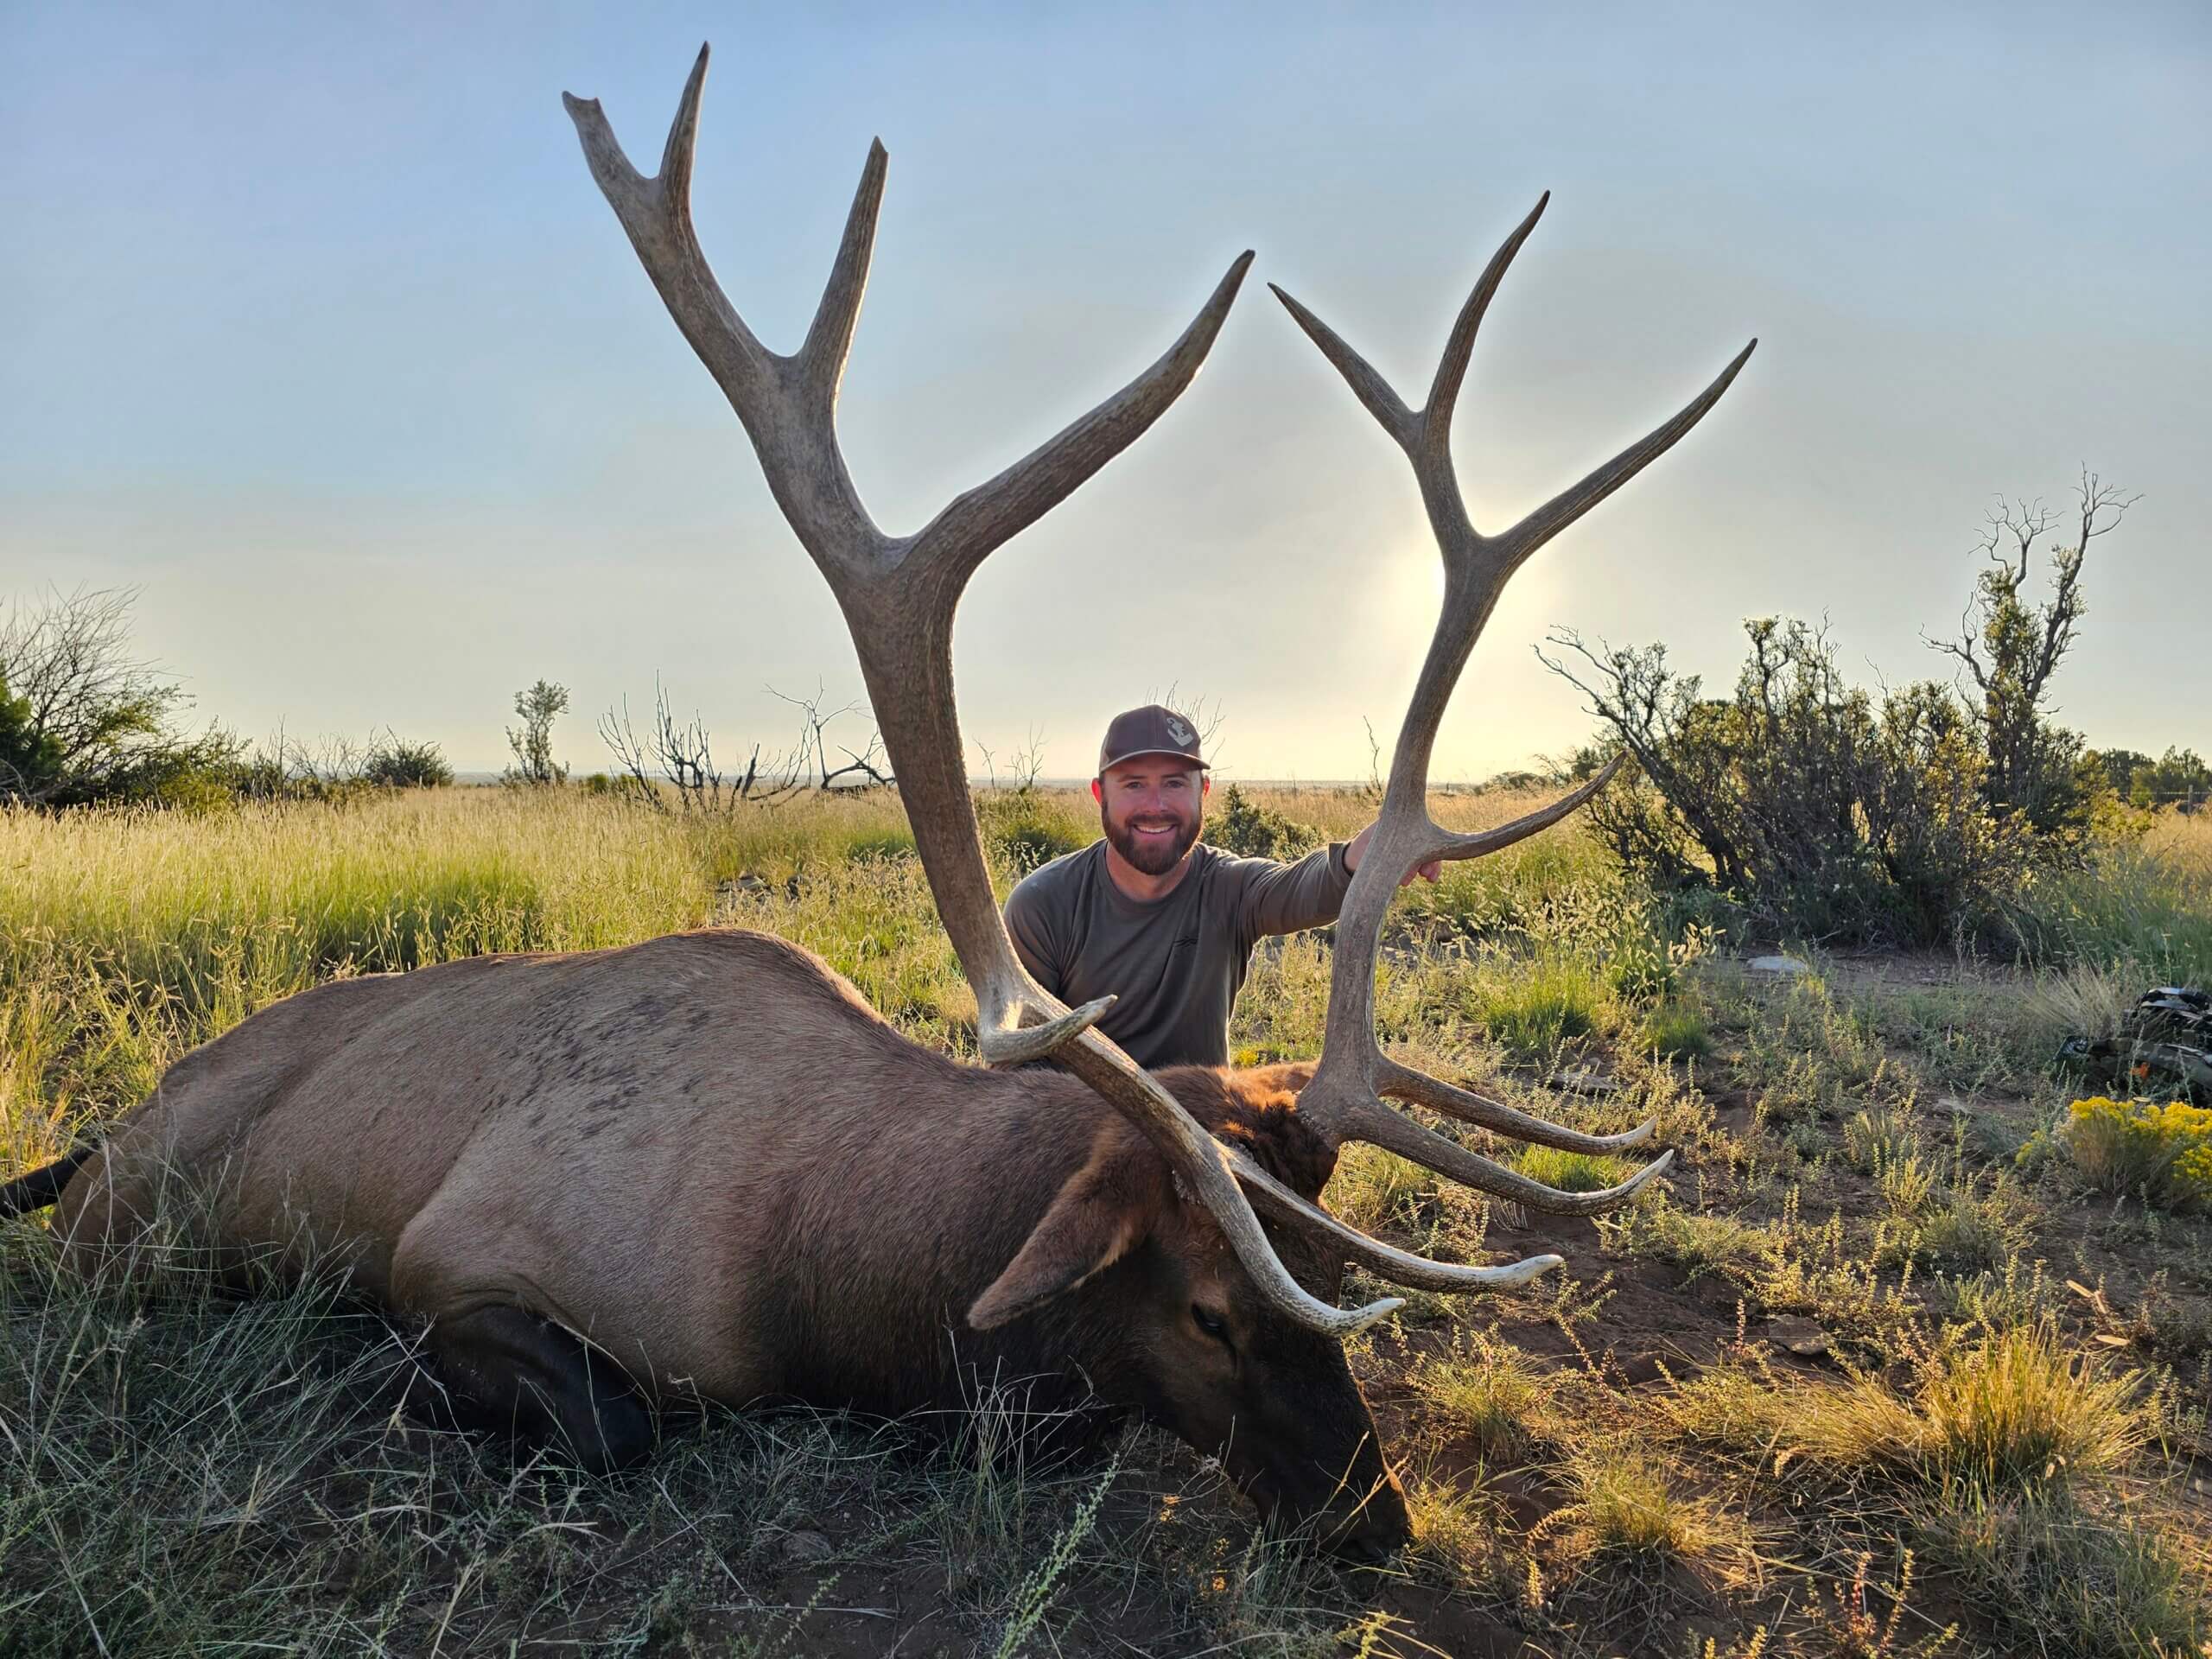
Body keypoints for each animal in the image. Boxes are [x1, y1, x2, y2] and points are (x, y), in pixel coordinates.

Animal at [2, 44, 1751, 1559]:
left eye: (1332, 1263)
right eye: (1206, 1306)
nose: (1374, 1520)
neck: (825, 1282)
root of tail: (108, 1127)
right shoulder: (466, 1254)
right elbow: (608, 1413)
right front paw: (389, 1375)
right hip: (134, 1225)